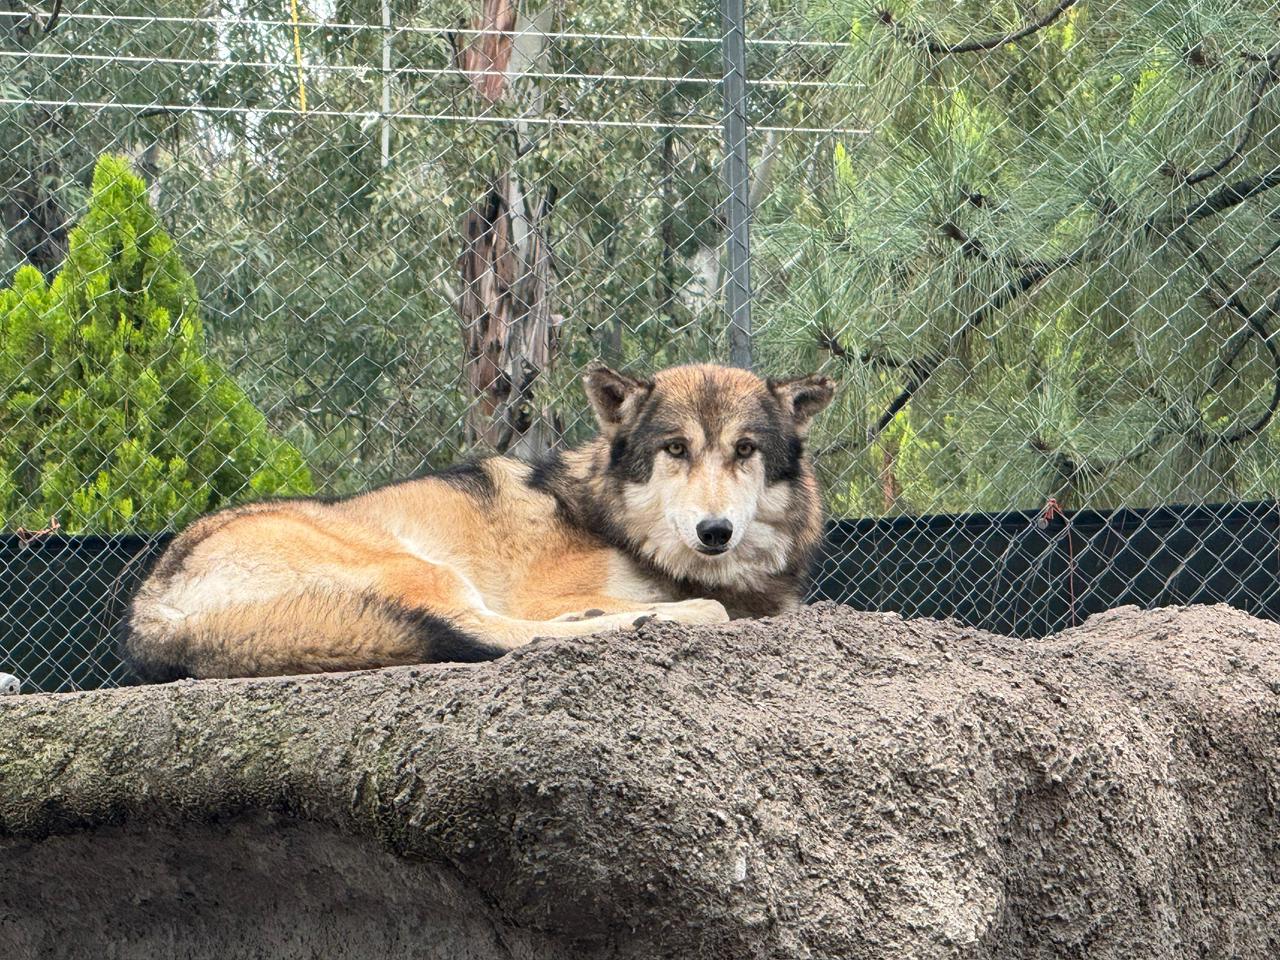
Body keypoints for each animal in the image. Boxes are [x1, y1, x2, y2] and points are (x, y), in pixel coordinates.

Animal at [120, 363, 834, 680]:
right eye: (676, 449)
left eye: (745, 450)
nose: (715, 532)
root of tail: (150, 612)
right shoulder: (542, 591)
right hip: (416, 565)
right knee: (487, 632)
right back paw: (633, 622)